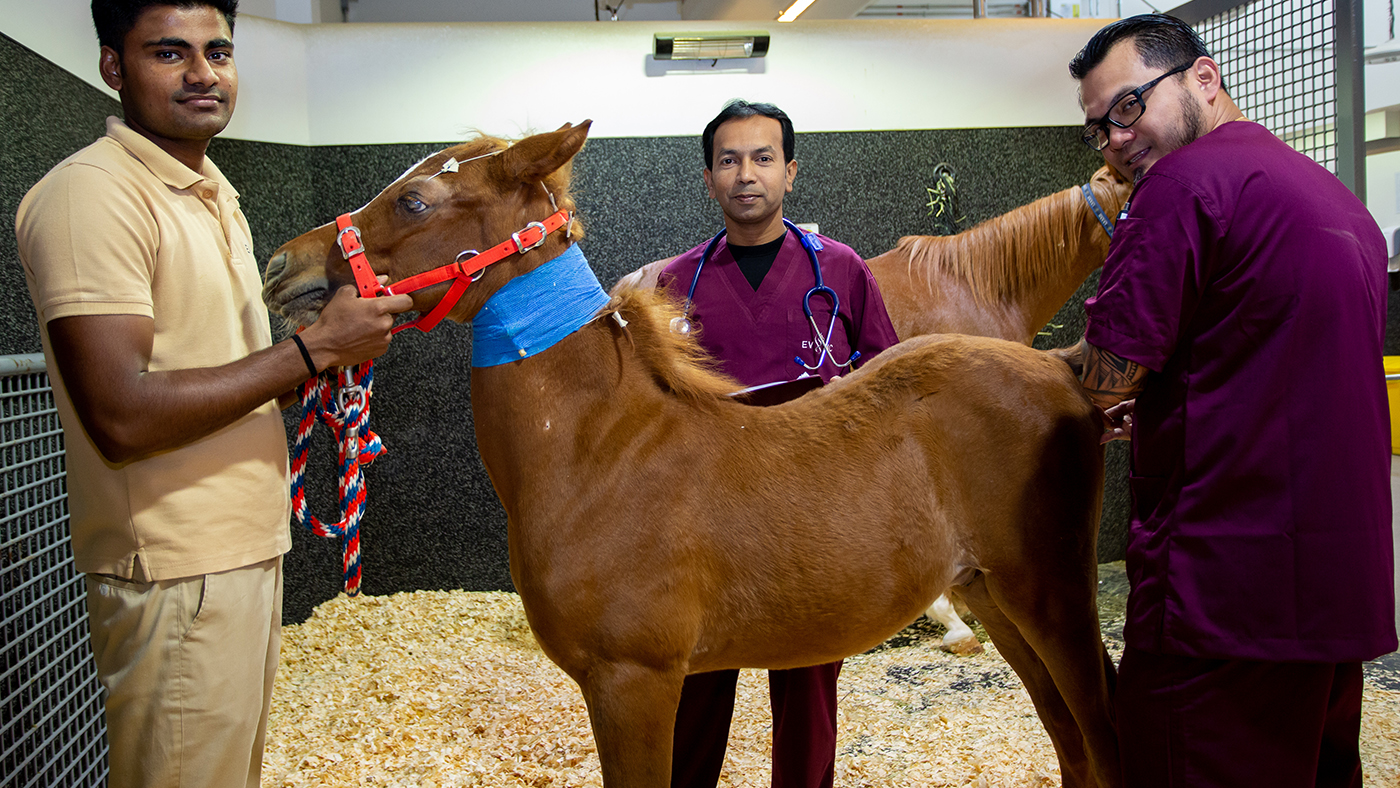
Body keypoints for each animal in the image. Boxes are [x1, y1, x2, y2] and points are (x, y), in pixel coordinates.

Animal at [261, 122, 1121, 788]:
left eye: (414, 200)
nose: (280, 266)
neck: (600, 450)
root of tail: (1062, 370)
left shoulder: (631, 682)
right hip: (993, 594)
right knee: (1073, 748)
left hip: (1053, 598)